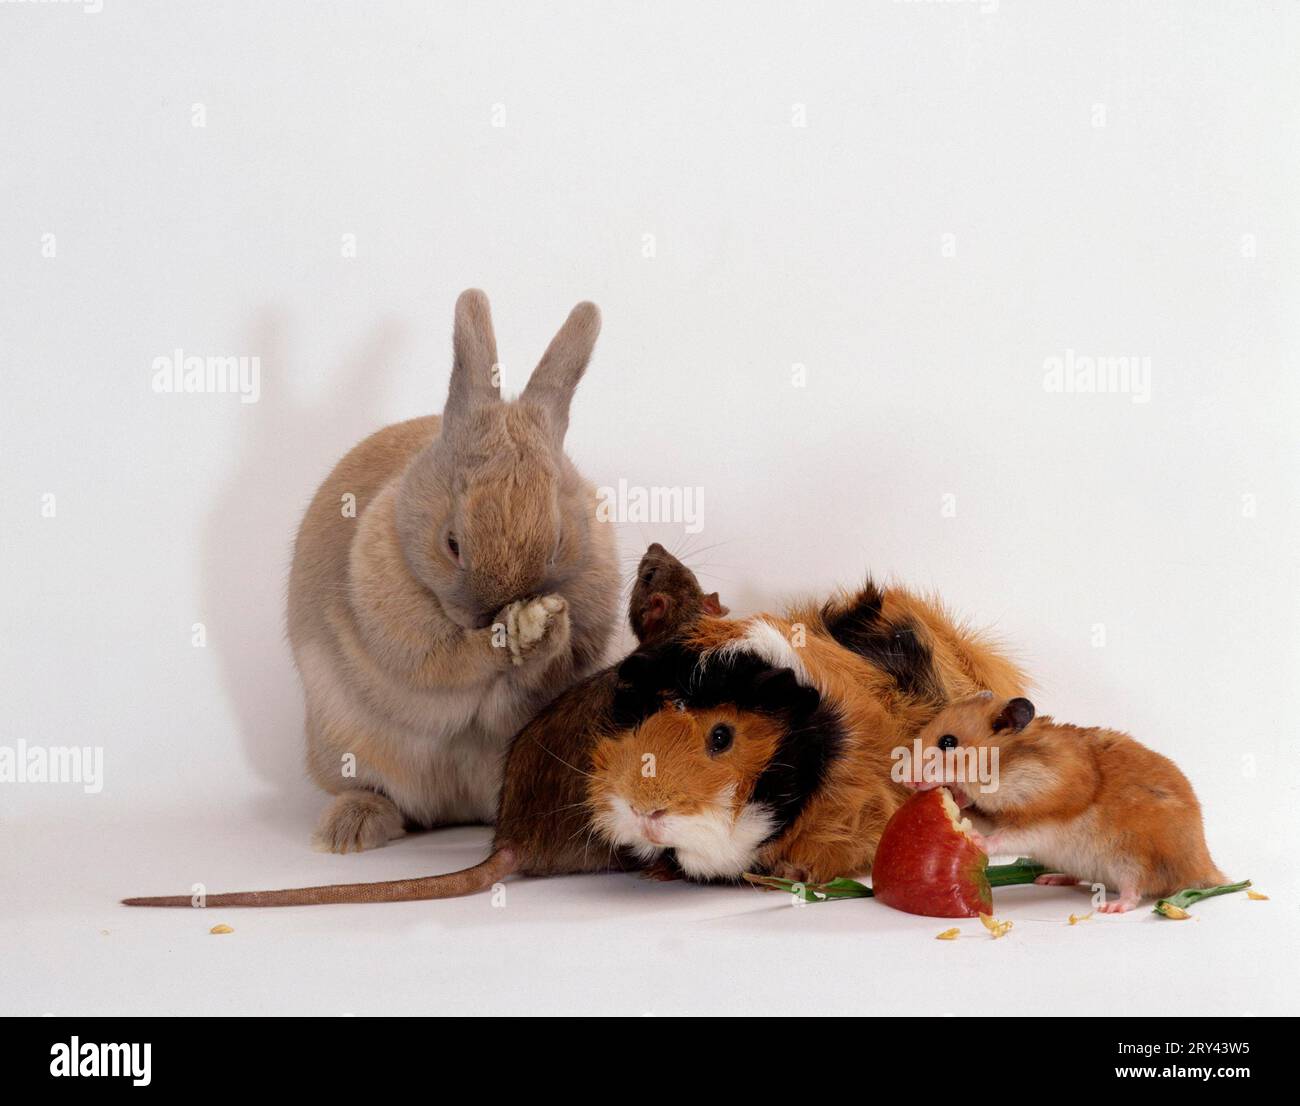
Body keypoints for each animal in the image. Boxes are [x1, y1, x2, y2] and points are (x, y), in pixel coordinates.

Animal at [287, 289, 620, 853]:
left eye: (557, 543)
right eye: (452, 544)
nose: (496, 609)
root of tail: (453, 812)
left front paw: (547, 630)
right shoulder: (403, 634)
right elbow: (446, 662)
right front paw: (509, 636)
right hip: (339, 746)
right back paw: (351, 831)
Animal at [906, 692, 1226, 912]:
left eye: (948, 742)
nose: (907, 781)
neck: (1004, 765)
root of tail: (1205, 867)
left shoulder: (1045, 816)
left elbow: (1007, 837)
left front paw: (975, 839)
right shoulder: (996, 813)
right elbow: (980, 815)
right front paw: (958, 799)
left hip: (1134, 857)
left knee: (1137, 888)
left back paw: (1112, 907)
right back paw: (1049, 879)